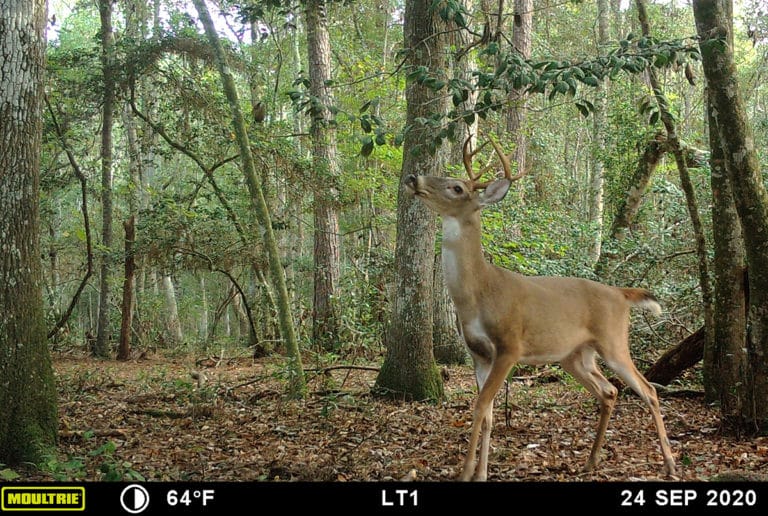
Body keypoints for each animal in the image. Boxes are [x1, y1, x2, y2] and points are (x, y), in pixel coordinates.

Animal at [404, 135, 676, 481]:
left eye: (456, 188)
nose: (414, 178)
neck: (477, 293)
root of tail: (620, 293)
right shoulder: (478, 353)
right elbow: (488, 413)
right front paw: (481, 473)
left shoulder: (510, 346)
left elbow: (479, 407)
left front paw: (465, 474)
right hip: (574, 355)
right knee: (609, 392)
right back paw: (590, 462)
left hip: (613, 342)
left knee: (648, 390)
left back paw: (669, 464)